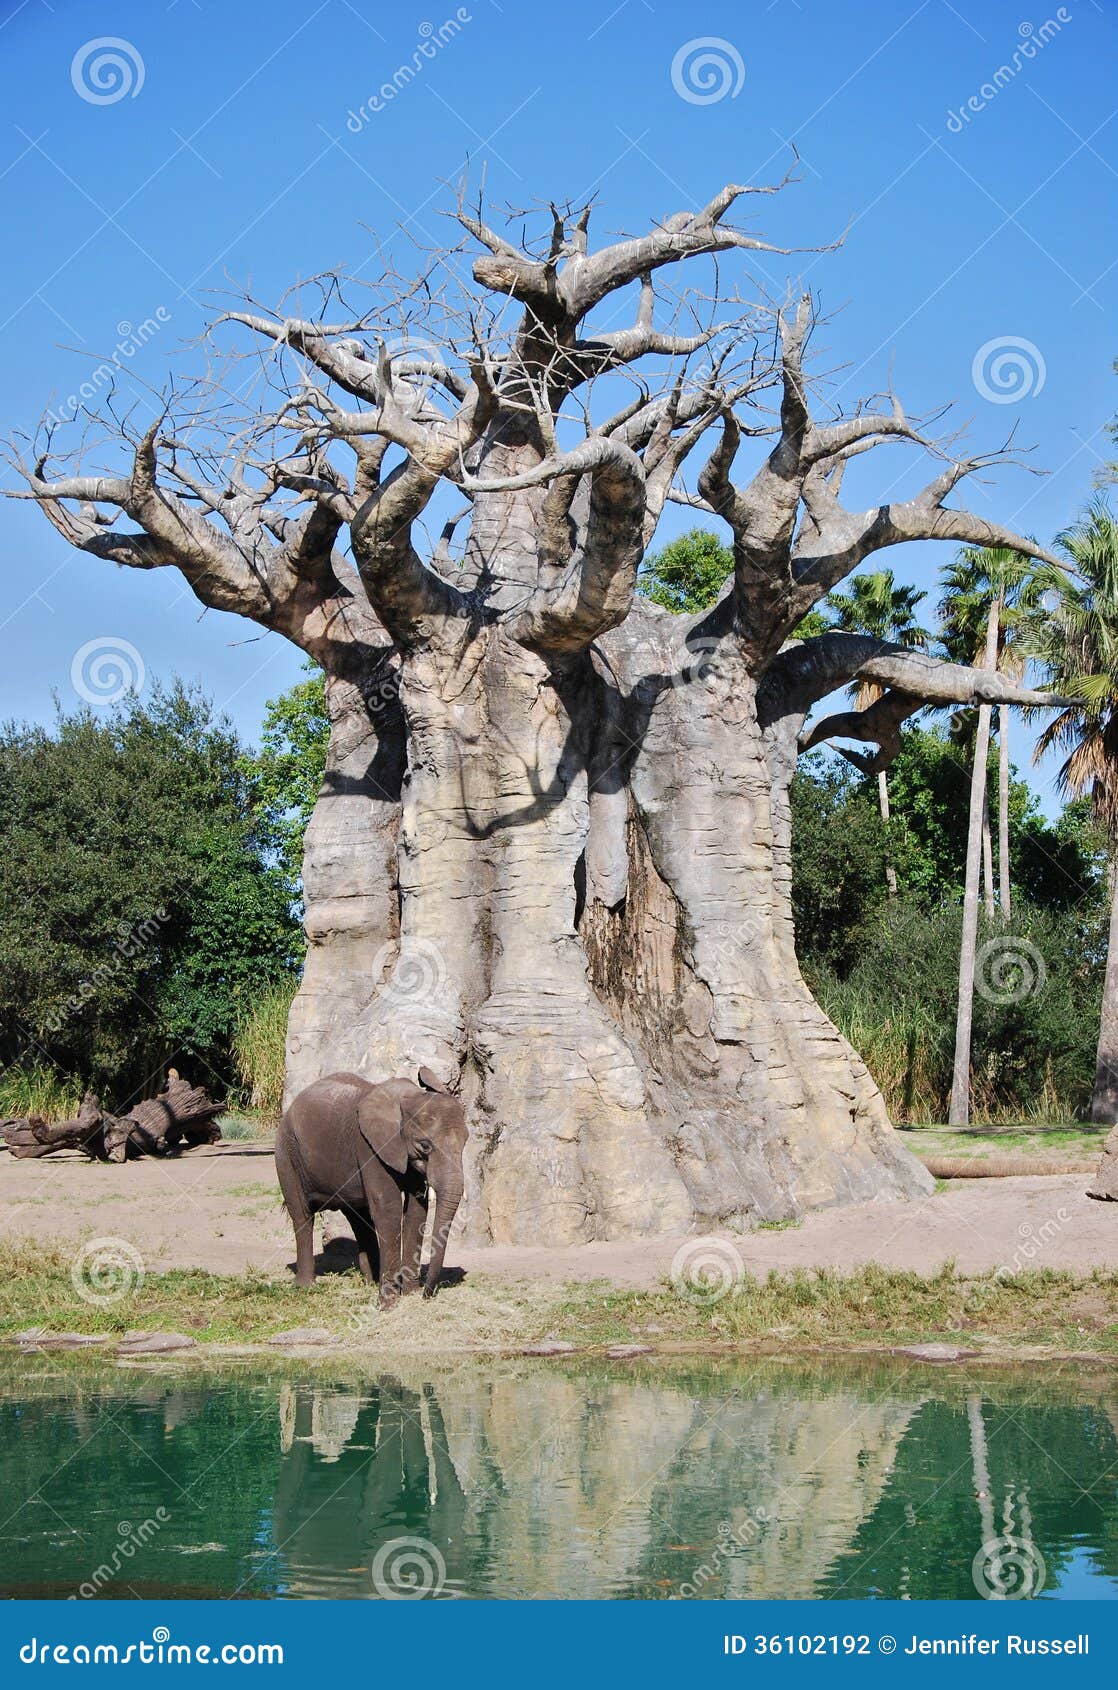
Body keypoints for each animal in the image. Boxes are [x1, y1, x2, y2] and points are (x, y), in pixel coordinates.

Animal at [275, 1069, 467, 1307]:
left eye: (465, 1143)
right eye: (425, 1146)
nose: (426, 1295)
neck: (407, 1099)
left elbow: (416, 1211)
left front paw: (408, 1294)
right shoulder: (369, 1147)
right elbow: (389, 1209)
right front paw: (388, 1305)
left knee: (359, 1218)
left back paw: (371, 1281)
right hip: (286, 1153)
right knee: (302, 1215)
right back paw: (305, 1286)